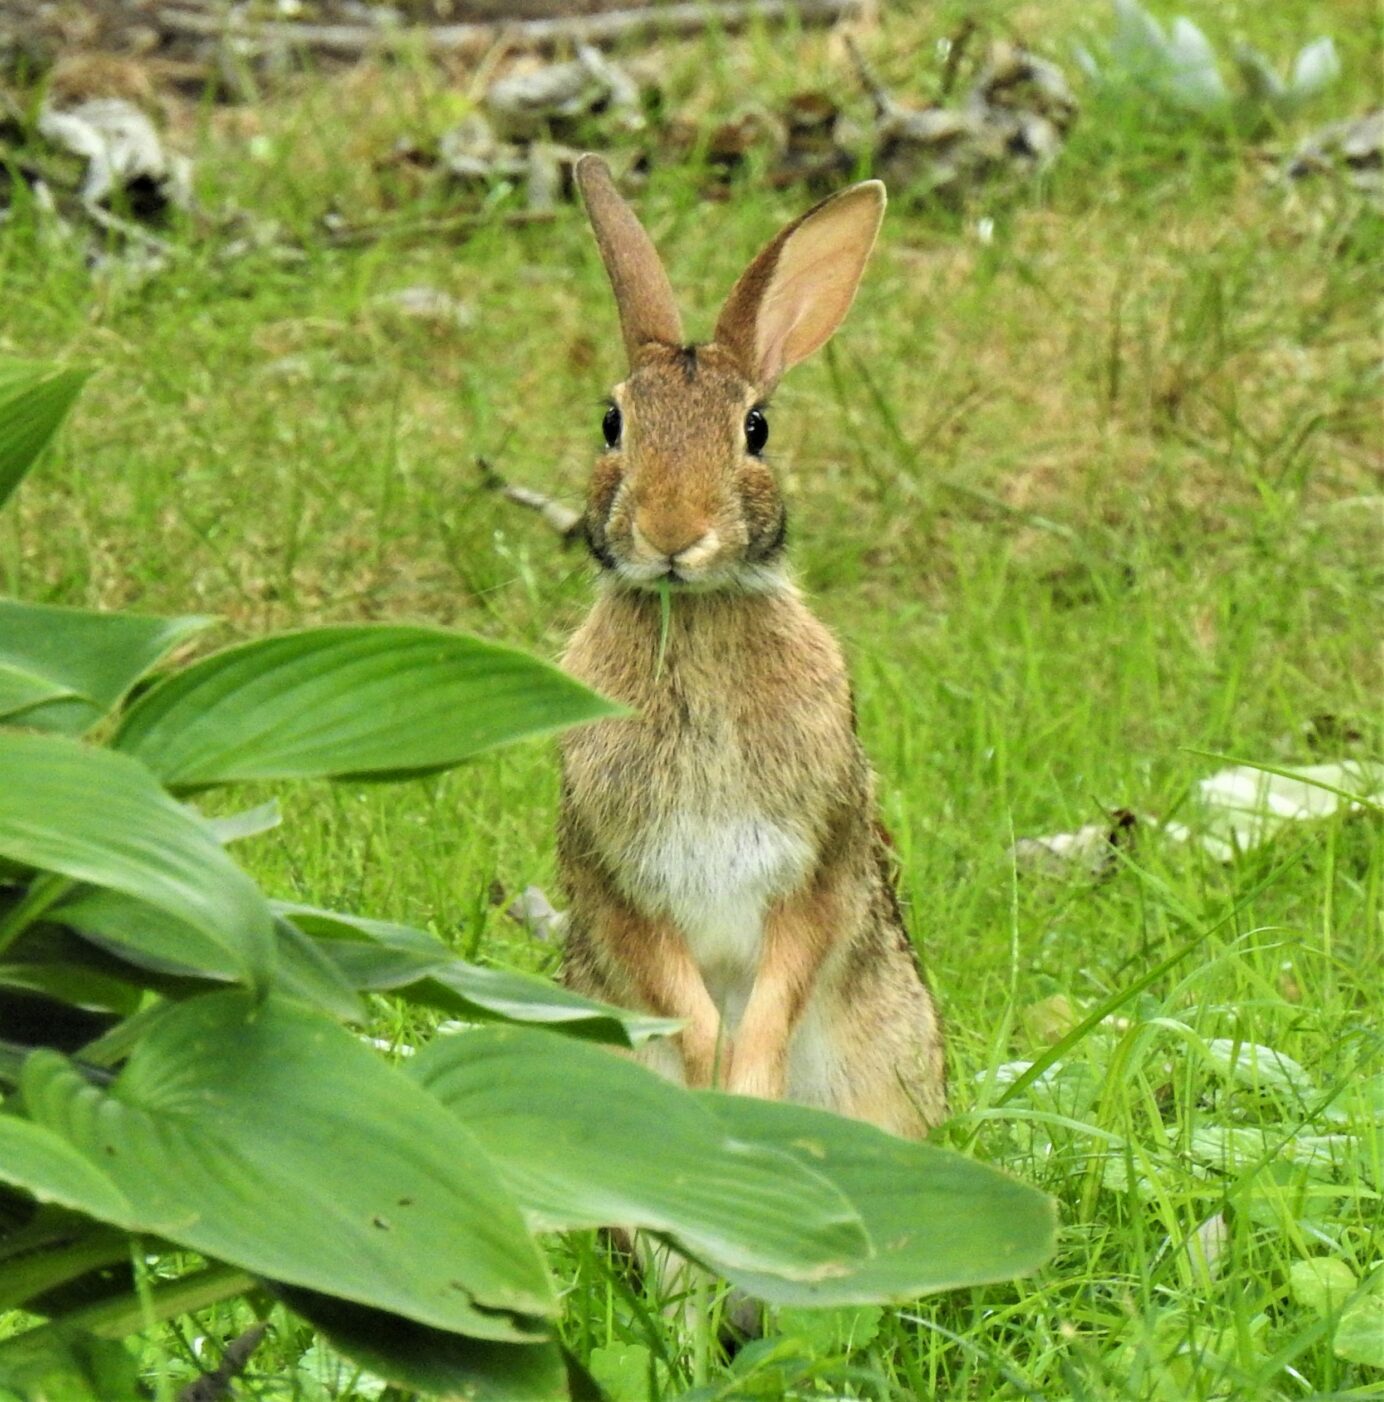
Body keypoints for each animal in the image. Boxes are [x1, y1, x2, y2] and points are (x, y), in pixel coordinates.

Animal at [557, 155, 946, 1140]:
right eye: (613, 424)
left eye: (756, 429)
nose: (671, 532)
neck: (691, 616)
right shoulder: (617, 876)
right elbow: (681, 1000)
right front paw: (715, 1087)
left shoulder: (820, 859)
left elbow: (784, 982)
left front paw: (751, 1089)